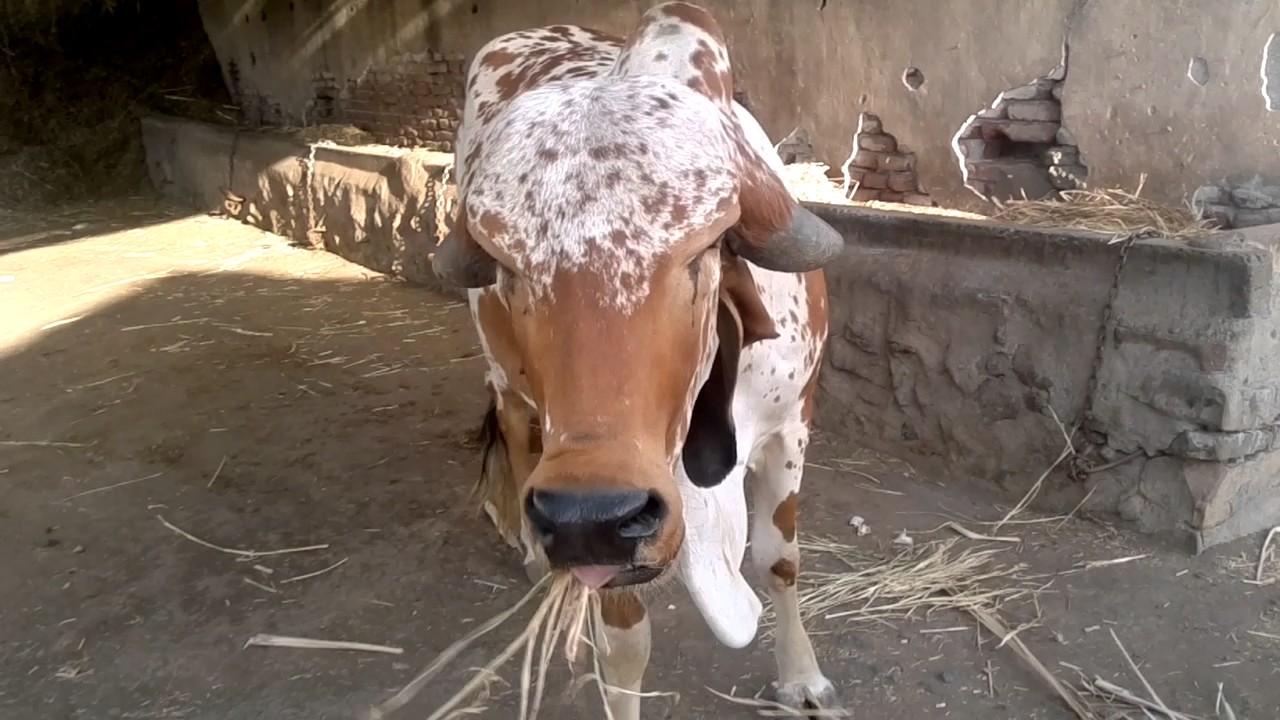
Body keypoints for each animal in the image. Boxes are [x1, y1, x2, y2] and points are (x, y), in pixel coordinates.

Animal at [430, 3, 846, 717]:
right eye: (507, 264)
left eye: (703, 251)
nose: (588, 518)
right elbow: (623, 645)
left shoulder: (792, 425)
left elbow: (778, 559)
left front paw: (802, 677)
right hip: (502, 369)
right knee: (513, 425)